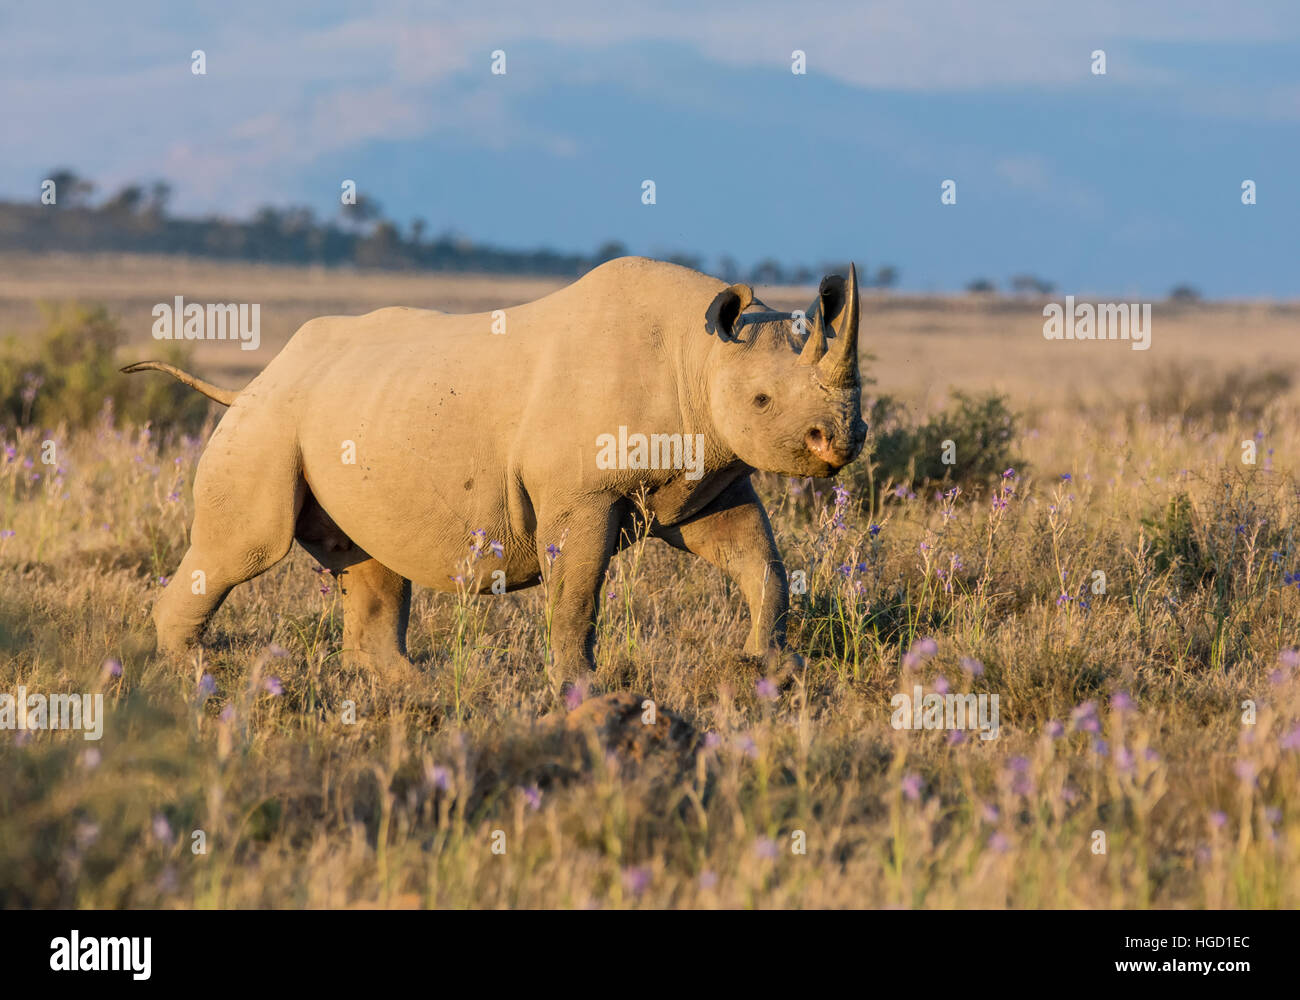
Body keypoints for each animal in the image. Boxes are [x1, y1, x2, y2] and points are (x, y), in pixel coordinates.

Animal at [125, 256, 866, 689]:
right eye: (763, 401)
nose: (842, 439)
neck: (699, 353)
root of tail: (256, 380)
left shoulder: (709, 480)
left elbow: (760, 562)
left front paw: (770, 667)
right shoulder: (580, 492)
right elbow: (578, 592)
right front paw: (581, 687)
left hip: (344, 412)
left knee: (370, 558)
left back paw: (407, 687)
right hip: (268, 425)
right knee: (245, 548)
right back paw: (192, 675)